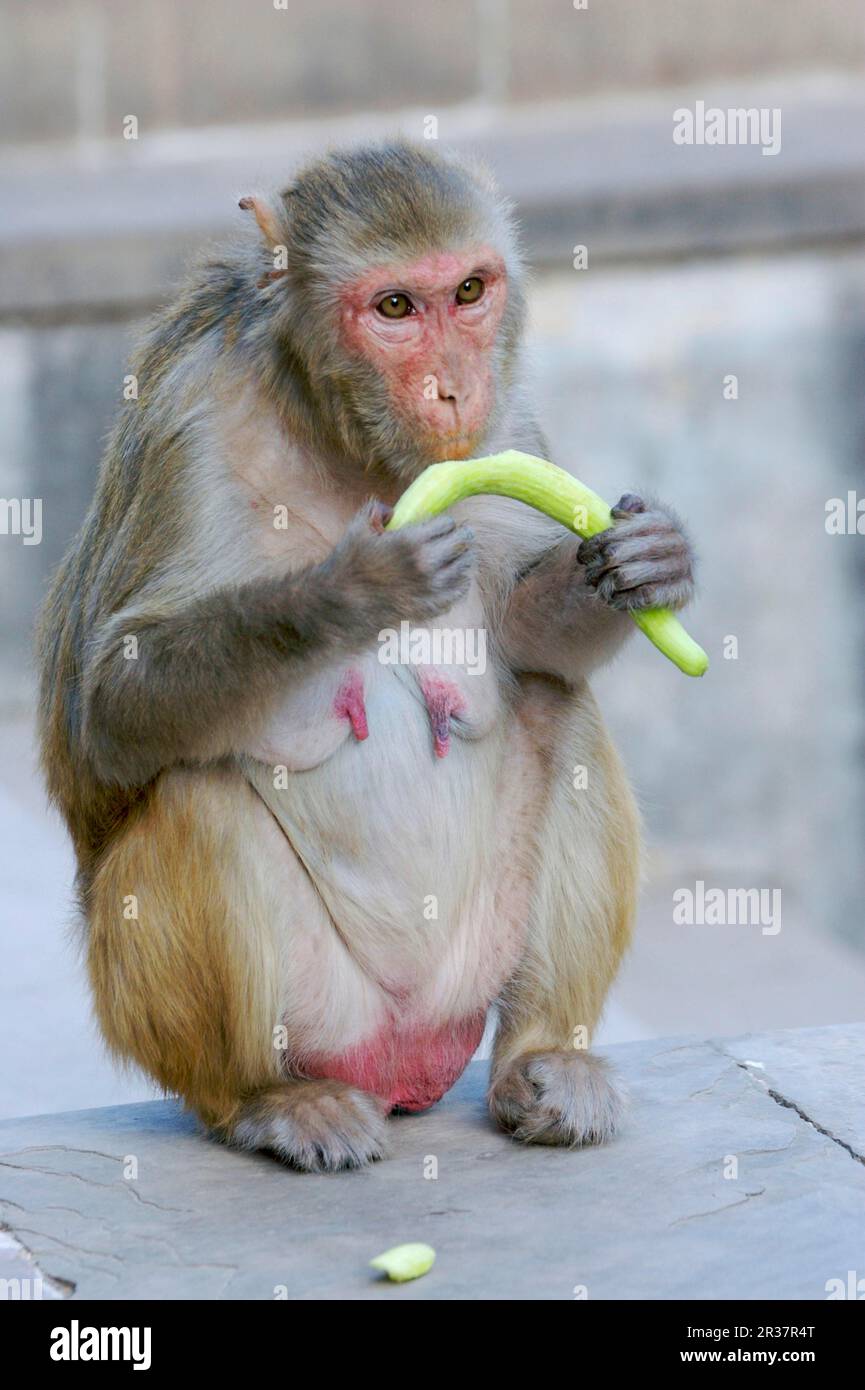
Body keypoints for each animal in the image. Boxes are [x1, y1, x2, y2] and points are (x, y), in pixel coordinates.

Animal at [37, 141, 695, 1172]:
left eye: (467, 290)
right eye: (393, 308)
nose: (455, 388)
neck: (331, 430)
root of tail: (403, 1061)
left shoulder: (504, 429)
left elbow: (526, 638)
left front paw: (644, 561)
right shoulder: (188, 416)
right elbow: (108, 703)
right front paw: (348, 588)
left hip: (465, 974)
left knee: (563, 711)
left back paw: (544, 1061)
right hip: (272, 1016)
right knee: (197, 795)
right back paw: (266, 1100)